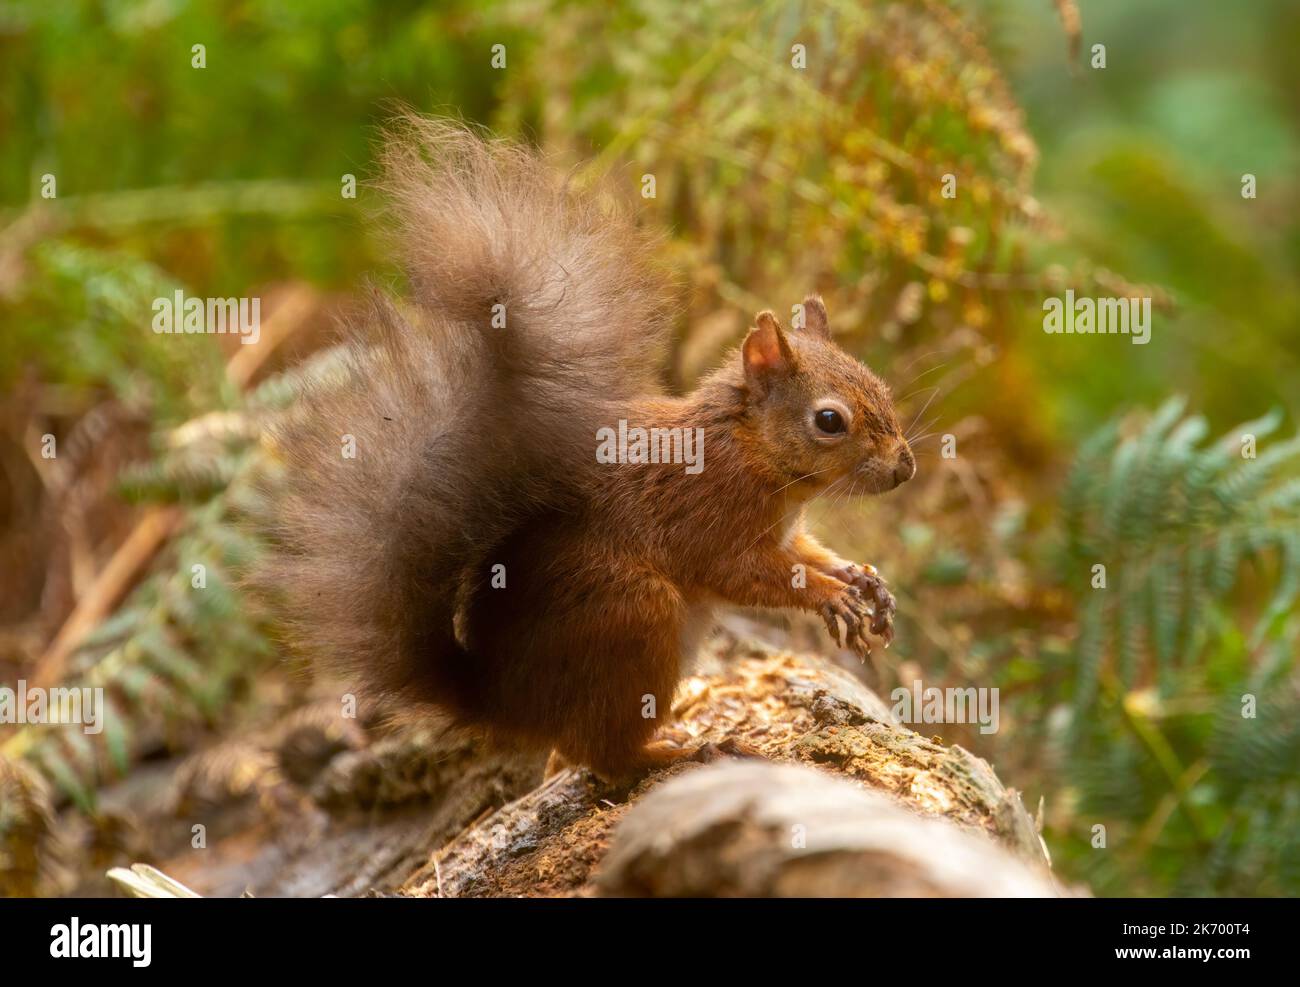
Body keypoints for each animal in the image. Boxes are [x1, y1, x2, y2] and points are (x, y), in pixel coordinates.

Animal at [262, 117, 915, 781]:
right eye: (829, 420)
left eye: (882, 386)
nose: (904, 467)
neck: (751, 452)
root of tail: (503, 701)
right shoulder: (709, 519)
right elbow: (747, 574)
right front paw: (832, 596)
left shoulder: (786, 531)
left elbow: (808, 553)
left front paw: (861, 578)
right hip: (634, 613)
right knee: (598, 755)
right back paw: (681, 748)